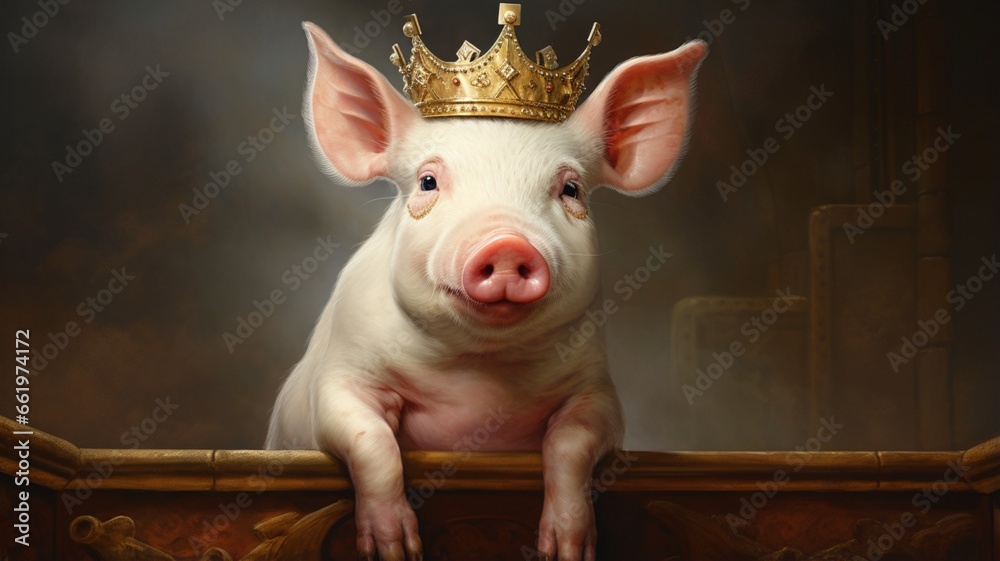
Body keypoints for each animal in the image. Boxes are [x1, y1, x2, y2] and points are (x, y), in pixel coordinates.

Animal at [265, 16, 707, 561]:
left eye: (571, 189)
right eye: (427, 182)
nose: (507, 243)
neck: (478, 379)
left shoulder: (597, 390)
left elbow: (572, 443)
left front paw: (565, 548)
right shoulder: (340, 376)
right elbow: (369, 437)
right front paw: (396, 549)